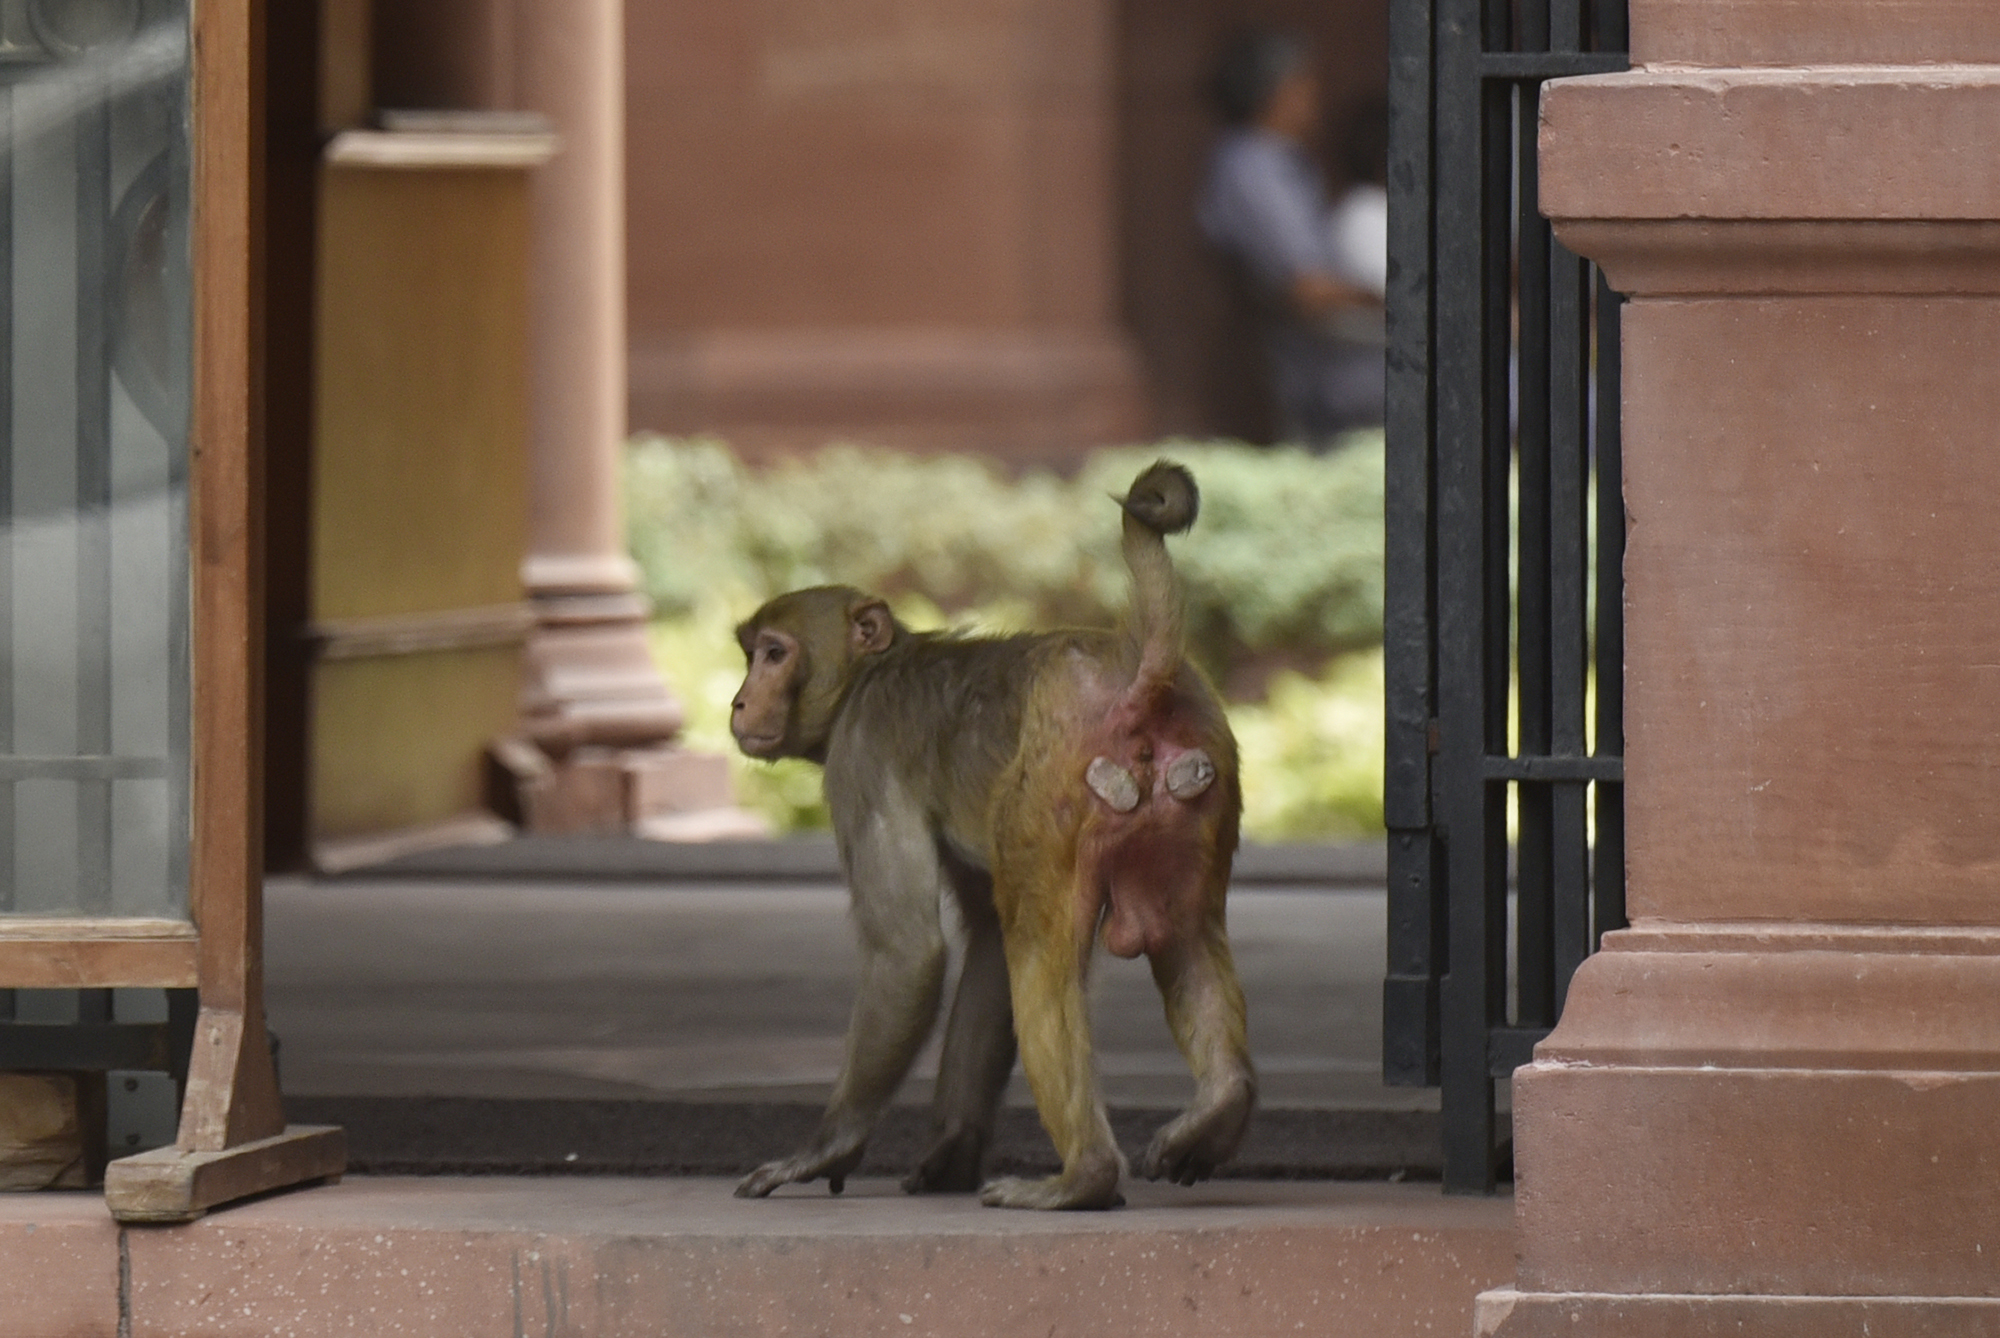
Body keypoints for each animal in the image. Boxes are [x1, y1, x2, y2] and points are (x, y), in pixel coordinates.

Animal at [729, 461, 1252, 1210]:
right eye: (752, 654)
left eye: (774, 654)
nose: (739, 701)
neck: (871, 674)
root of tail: (1131, 667)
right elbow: (985, 943)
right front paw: (952, 1151)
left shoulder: (861, 752)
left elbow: (911, 952)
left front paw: (825, 1149)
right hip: (1201, 784)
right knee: (1187, 933)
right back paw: (1220, 1107)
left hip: (1049, 795)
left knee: (1038, 949)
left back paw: (1085, 1175)